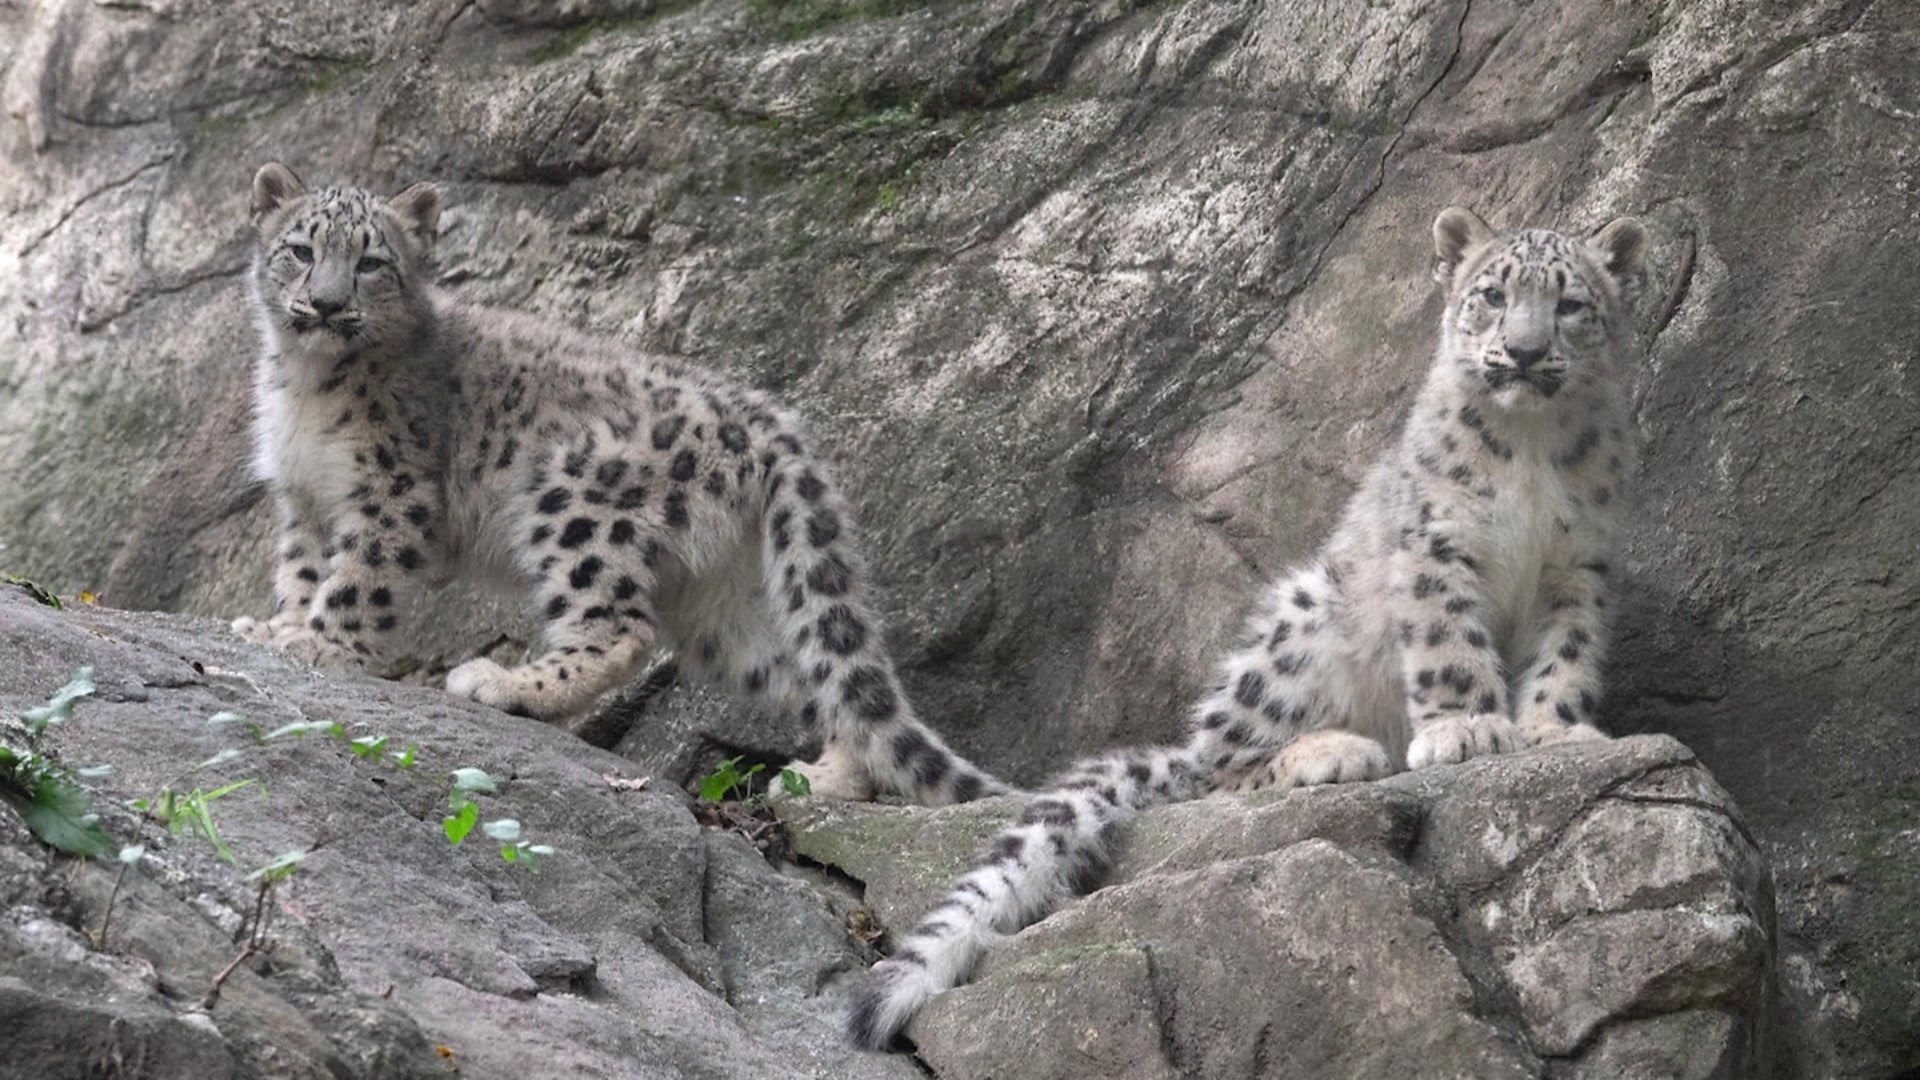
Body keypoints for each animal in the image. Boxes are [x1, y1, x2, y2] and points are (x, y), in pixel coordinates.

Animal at [230, 162, 1008, 807]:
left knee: (618, 628)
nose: (326, 304)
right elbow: (304, 571)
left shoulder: (391, 495)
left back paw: (504, 684)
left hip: (577, 501)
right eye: (300, 251)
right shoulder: (305, 501)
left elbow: (357, 579)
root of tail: (768, 417)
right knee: (814, 672)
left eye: (370, 262)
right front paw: (279, 625)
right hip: (724, 602)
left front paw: (319, 645)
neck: (305, 384)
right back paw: (831, 777)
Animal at [846, 206, 1650, 1049]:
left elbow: (1568, 656)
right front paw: (1468, 727)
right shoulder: (1436, 547)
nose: (1524, 351)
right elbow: (1451, 645)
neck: (1531, 451)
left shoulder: (1579, 567)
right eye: (1493, 295)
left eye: (1571, 304)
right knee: (1221, 770)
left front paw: (1556, 730)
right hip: (1302, 621)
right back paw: (1331, 752)